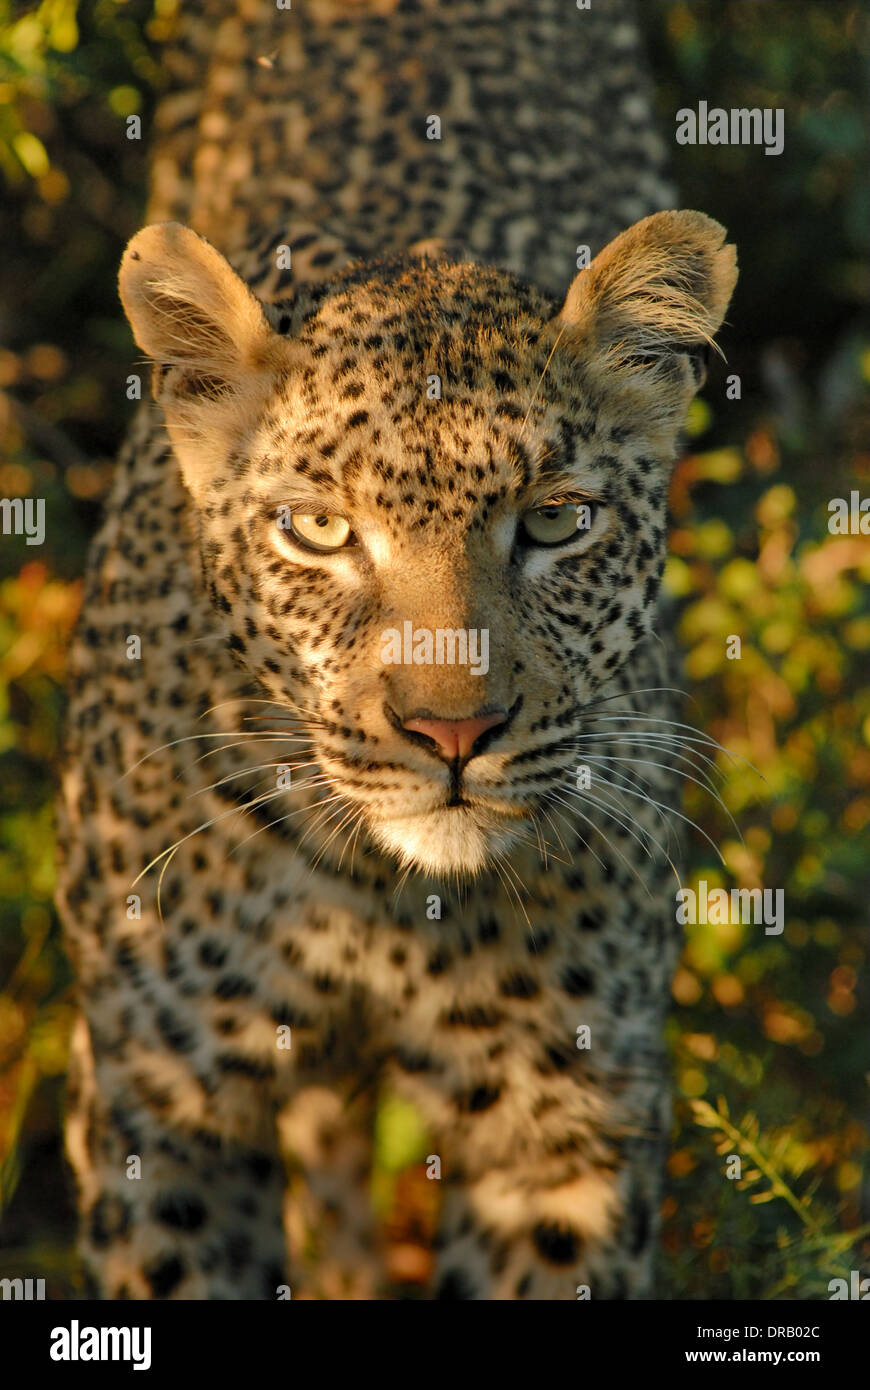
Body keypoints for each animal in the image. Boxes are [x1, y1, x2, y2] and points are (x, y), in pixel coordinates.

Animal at [56, 0, 737, 1300]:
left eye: (555, 523)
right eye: (321, 530)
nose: (452, 731)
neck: (378, 894)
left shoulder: (565, 1125)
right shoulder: (160, 1100)